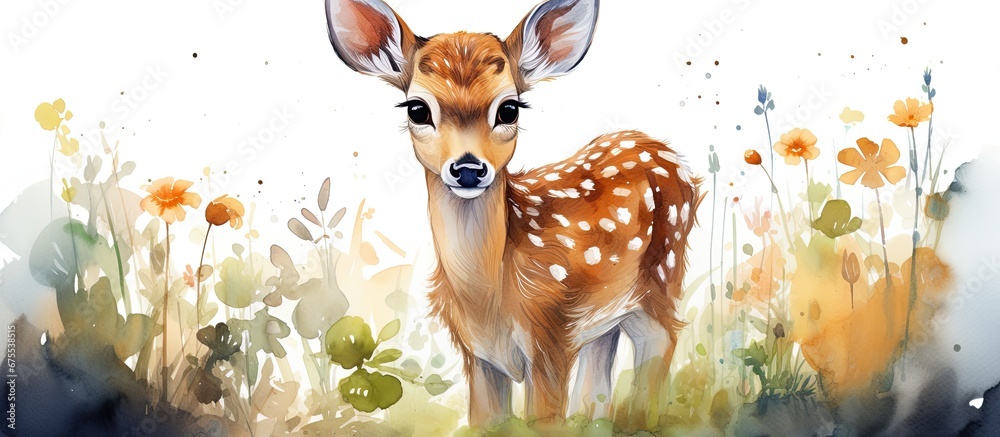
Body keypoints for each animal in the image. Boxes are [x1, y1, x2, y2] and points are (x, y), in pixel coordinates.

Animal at [326, 0, 702, 429]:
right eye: (418, 109)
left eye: (508, 109)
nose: (468, 168)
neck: (489, 298)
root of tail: (666, 150)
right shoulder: (478, 354)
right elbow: (487, 420)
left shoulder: (550, 335)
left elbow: (544, 420)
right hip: (604, 311)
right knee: (598, 376)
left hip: (662, 273)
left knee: (659, 344)